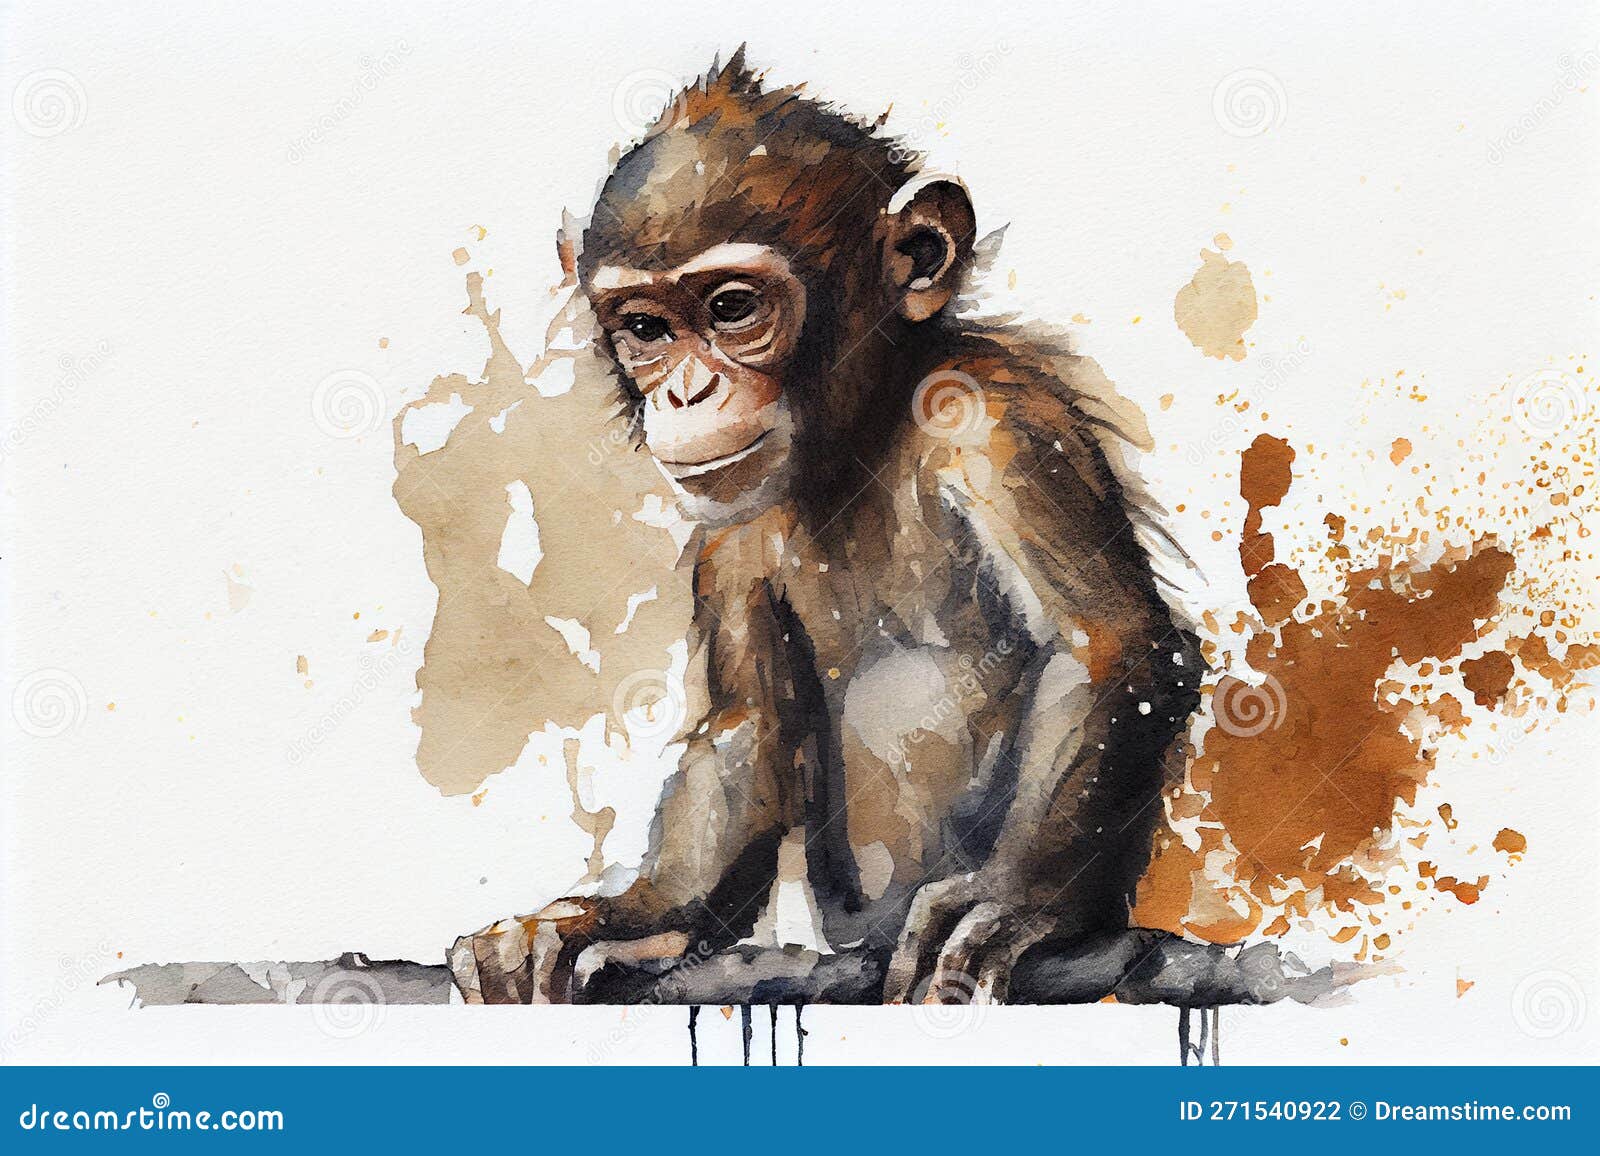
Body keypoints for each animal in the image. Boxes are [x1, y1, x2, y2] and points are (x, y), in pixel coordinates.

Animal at [449, 49, 1201, 1006]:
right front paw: (634, 919)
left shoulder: (1003, 422)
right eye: (646, 328)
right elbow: (751, 723)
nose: (686, 392)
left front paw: (1010, 899)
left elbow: (1104, 640)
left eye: (733, 308)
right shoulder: (728, 540)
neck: (861, 431)